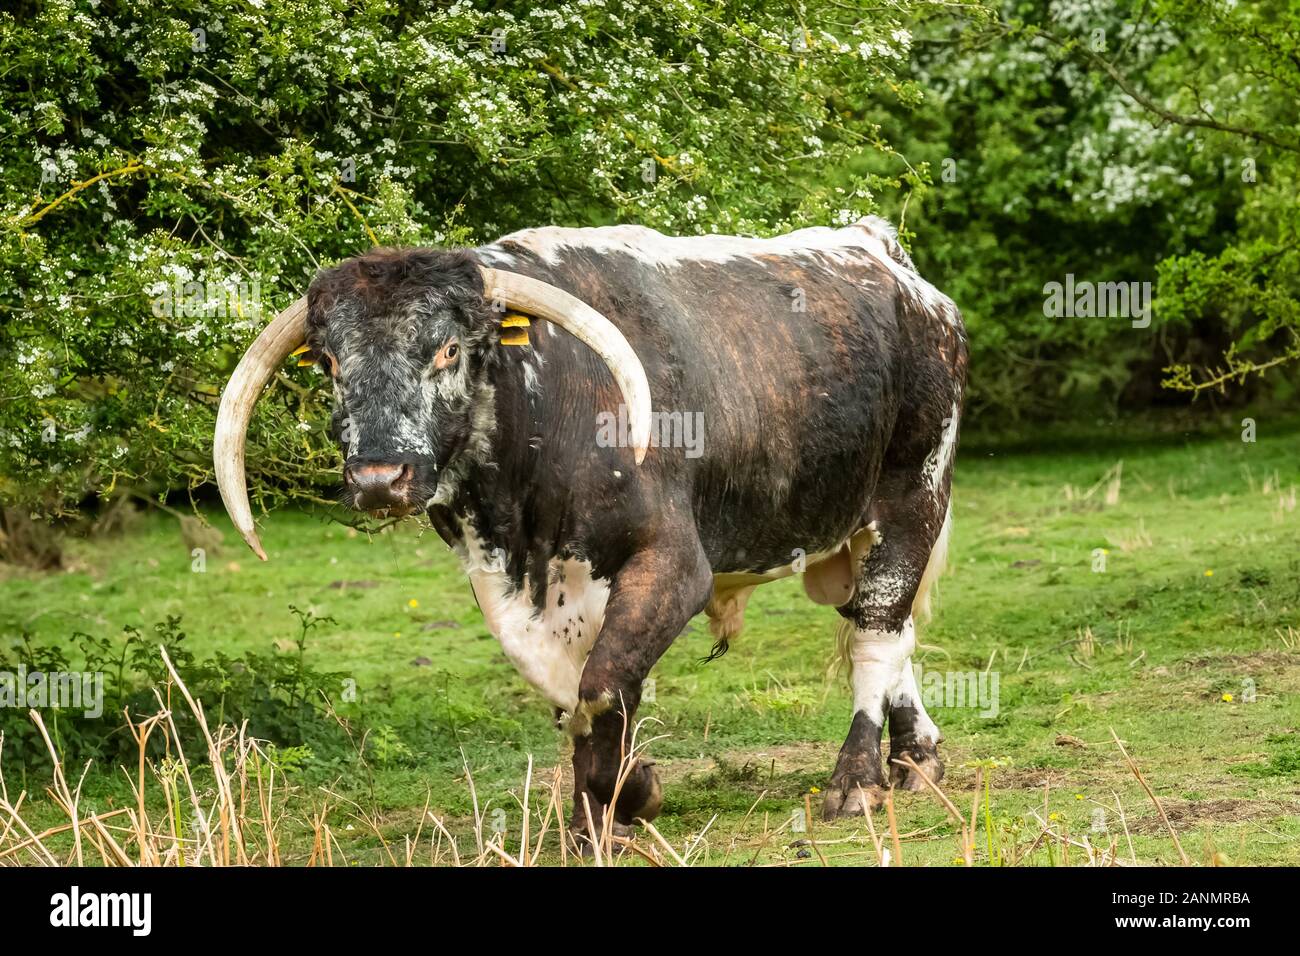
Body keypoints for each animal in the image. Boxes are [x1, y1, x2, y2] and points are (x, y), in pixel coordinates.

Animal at [213, 216, 968, 846]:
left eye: (448, 349)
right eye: (330, 362)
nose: (378, 477)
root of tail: (881, 250)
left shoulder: (672, 565)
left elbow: (602, 686)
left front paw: (631, 795)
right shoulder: (510, 585)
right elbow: (574, 695)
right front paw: (596, 819)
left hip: (914, 494)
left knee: (877, 630)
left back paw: (858, 782)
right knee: (886, 626)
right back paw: (915, 757)